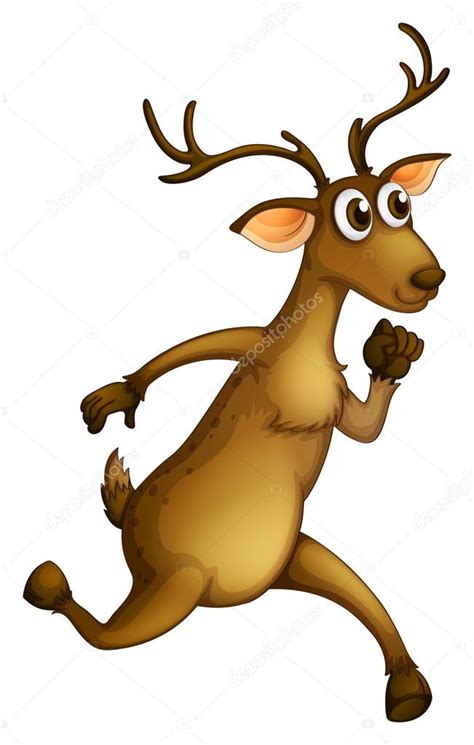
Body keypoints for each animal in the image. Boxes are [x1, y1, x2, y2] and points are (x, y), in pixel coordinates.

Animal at [24, 23, 450, 722]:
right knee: (108, 634)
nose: (429, 277)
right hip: (225, 573)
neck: (298, 347)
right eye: (355, 216)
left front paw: (392, 353)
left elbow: (230, 350)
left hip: (281, 551)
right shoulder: (294, 384)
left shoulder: (270, 352)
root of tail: (155, 566)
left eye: (398, 203)